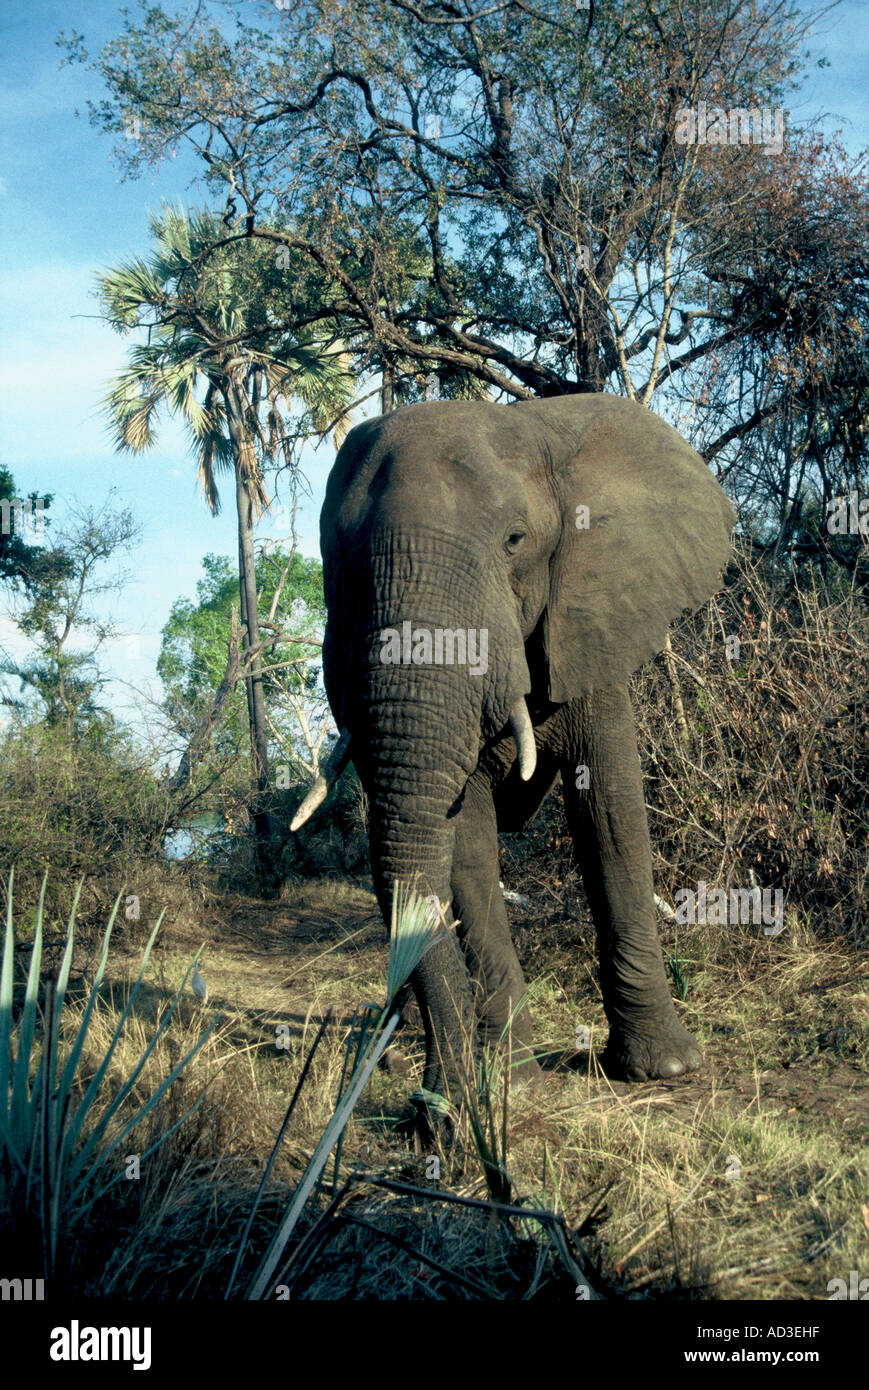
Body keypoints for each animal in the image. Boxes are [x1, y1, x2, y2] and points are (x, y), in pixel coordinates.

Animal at [292, 393, 735, 1130]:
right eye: (339, 558)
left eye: (514, 541)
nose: (433, 1114)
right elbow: (466, 845)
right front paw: (508, 1085)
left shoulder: (588, 623)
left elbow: (610, 814)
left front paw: (663, 1069)